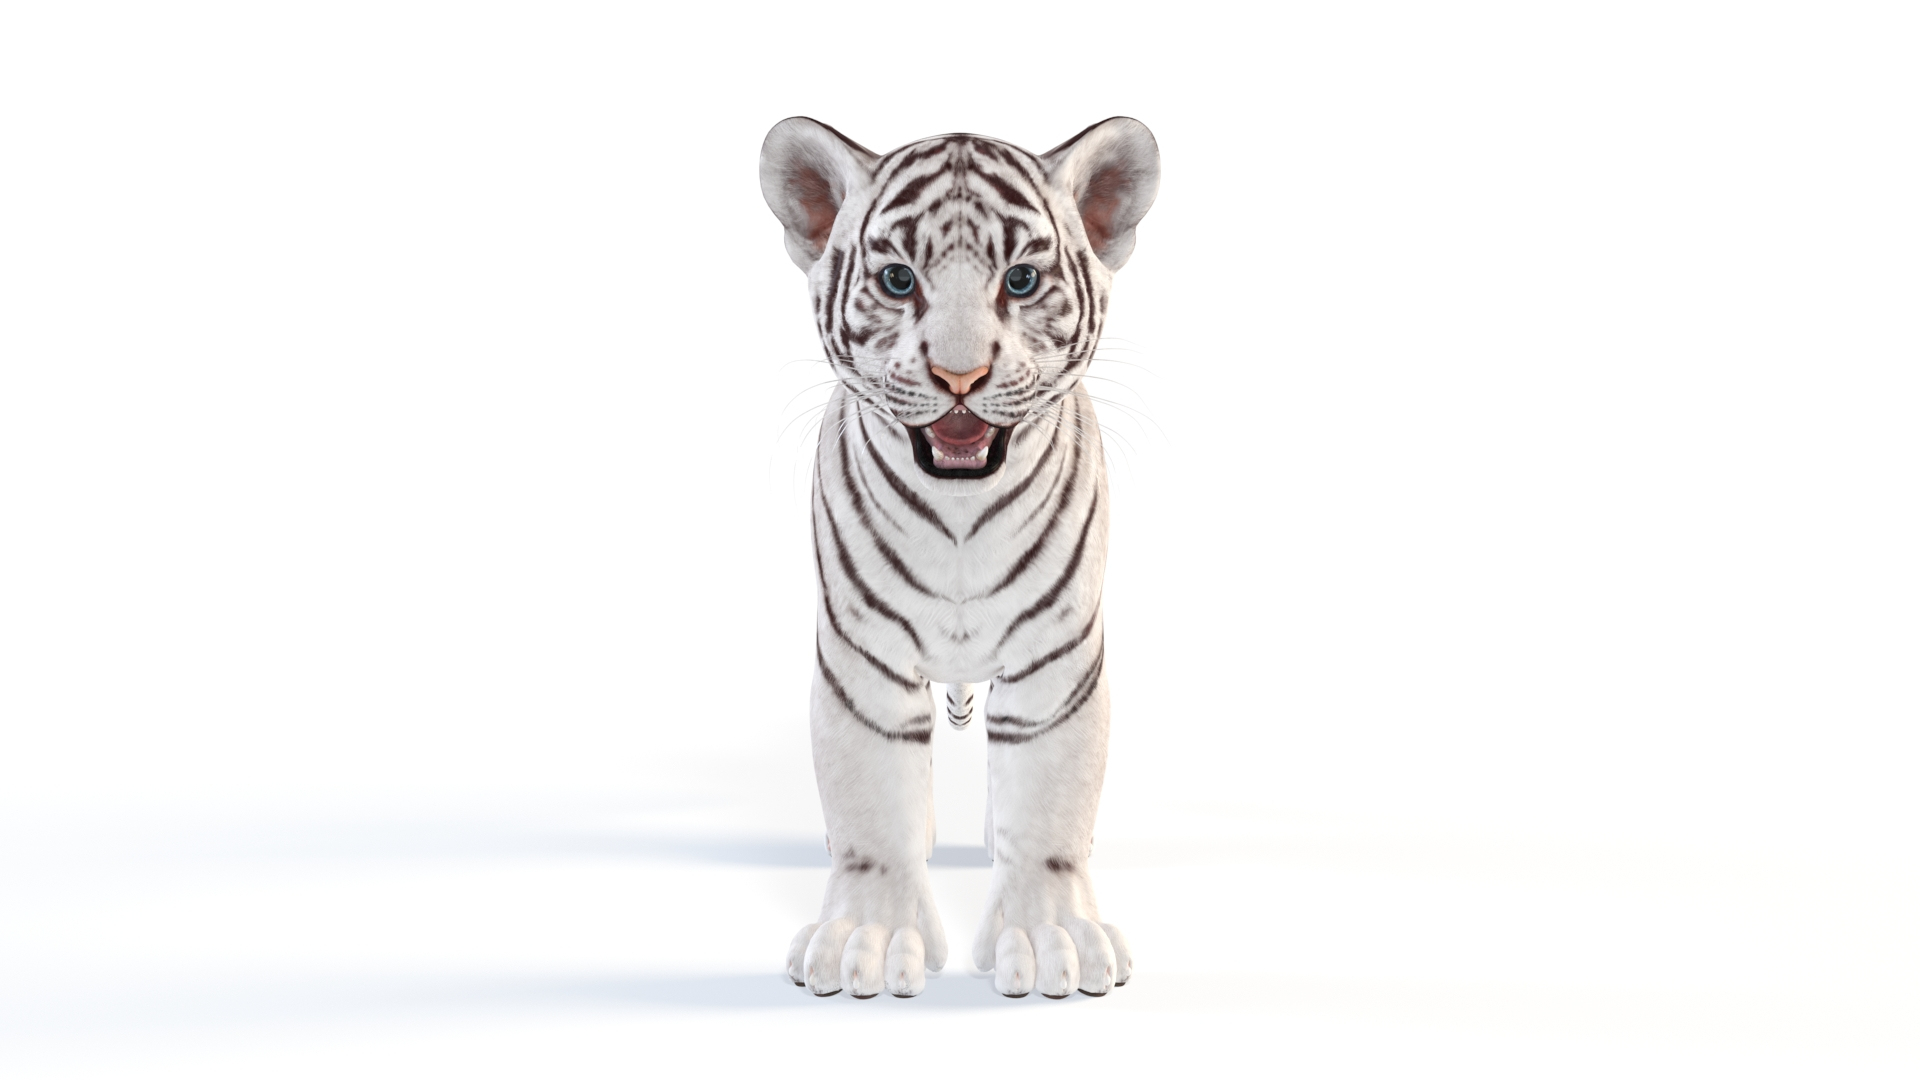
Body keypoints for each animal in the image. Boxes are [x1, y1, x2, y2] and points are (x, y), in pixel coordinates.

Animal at [759, 116, 1159, 999]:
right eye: (898, 280)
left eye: (1022, 279)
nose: (960, 376)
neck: (960, 516)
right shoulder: (862, 663)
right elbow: (874, 808)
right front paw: (866, 941)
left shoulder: (1057, 664)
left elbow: (1048, 806)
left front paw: (1051, 941)